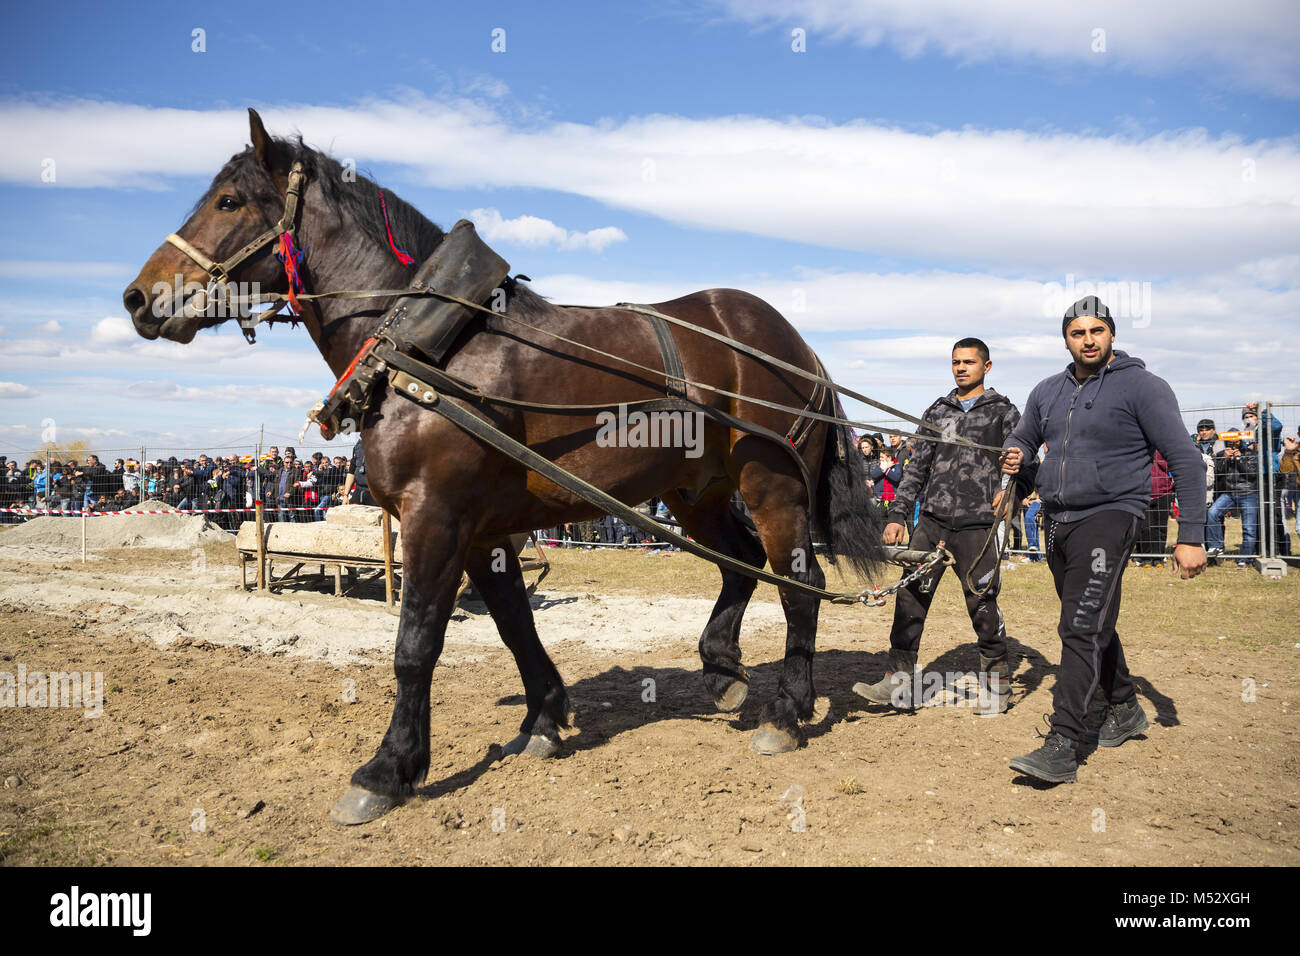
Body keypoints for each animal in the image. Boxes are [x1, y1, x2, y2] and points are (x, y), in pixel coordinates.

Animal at [123, 109, 885, 824]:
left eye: (228, 201)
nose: (137, 297)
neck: (429, 349)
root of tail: (797, 344)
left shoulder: (435, 516)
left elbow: (416, 644)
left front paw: (387, 770)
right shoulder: (483, 530)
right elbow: (515, 623)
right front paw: (544, 717)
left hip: (771, 483)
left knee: (799, 583)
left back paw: (787, 711)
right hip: (693, 491)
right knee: (740, 563)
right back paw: (722, 668)